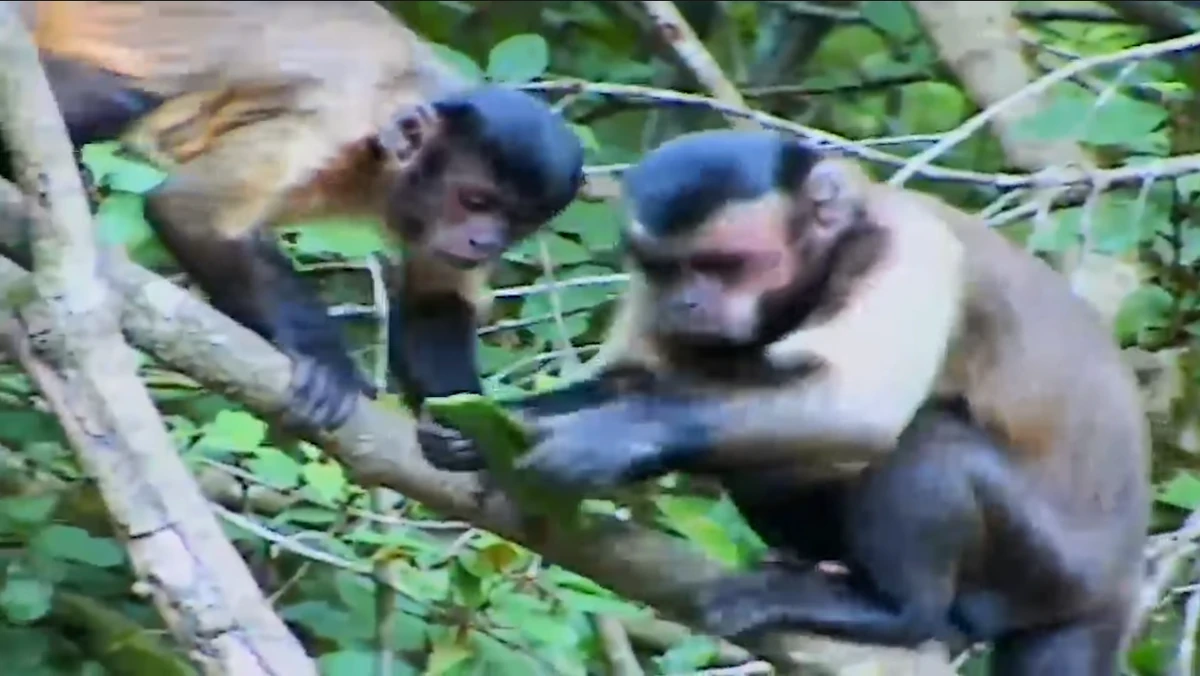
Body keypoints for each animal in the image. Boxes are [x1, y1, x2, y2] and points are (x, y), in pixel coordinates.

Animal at [2, 2, 585, 441]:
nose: (485, 240)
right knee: (119, 101)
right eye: (475, 200)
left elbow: (435, 301)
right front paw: (324, 359)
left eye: (515, 221)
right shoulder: (334, 124)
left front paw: (470, 431)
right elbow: (188, 210)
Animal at [427, 129, 1150, 674]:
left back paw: (897, 613)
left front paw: (614, 439)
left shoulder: (907, 249)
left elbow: (858, 412)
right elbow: (638, 379)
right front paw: (491, 431)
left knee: (927, 440)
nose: (686, 303)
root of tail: (1118, 580)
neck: (826, 264)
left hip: (1052, 570)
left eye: (724, 265)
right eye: (663, 268)